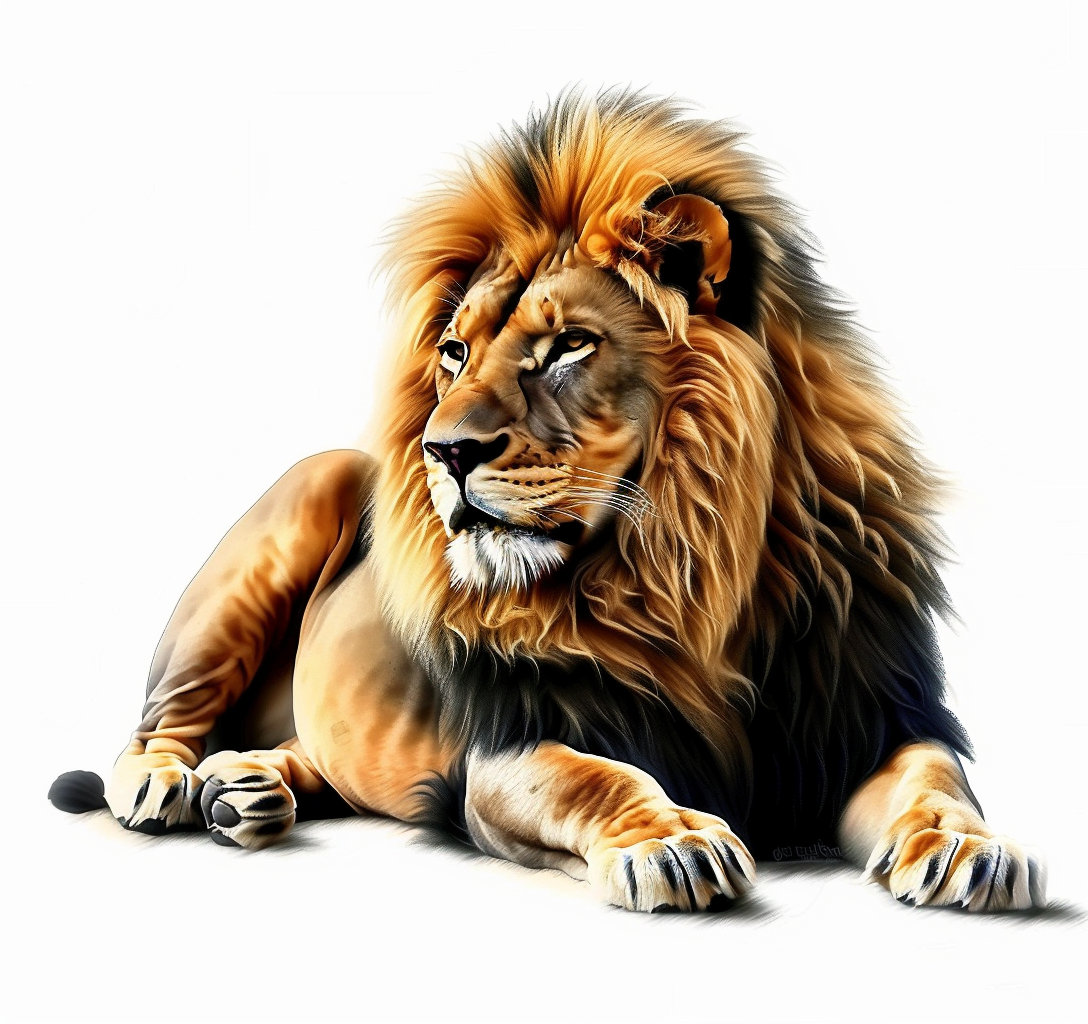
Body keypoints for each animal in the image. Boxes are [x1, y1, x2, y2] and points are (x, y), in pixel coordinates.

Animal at [51, 89, 1046, 913]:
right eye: (454, 352)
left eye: (568, 345)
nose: (444, 451)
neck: (685, 579)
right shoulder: (503, 752)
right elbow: (597, 778)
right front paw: (672, 841)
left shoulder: (870, 717)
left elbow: (935, 780)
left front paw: (973, 849)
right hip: (298, 503)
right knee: (160, 720)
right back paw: (173, 784)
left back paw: (250, 786)